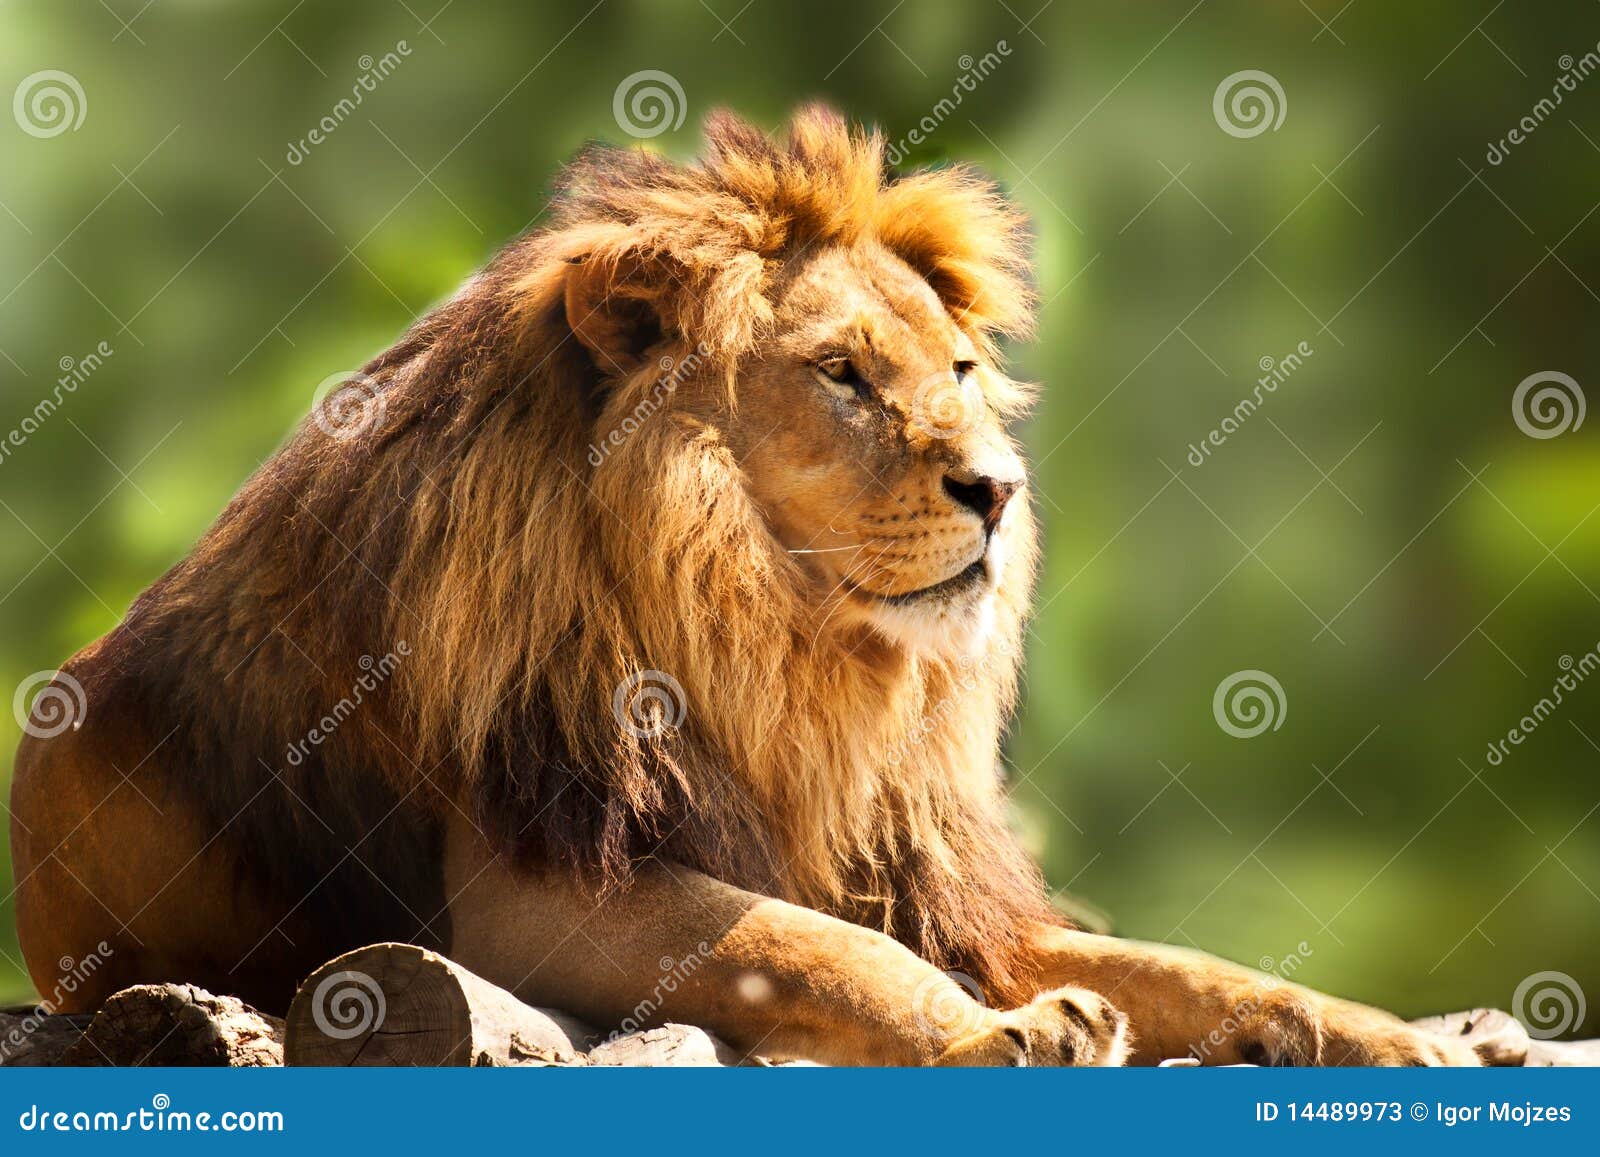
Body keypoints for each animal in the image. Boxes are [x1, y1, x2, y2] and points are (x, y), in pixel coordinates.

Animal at [10, 106, 1494, 1066]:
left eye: (960, 370)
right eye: (843, 375)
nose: (1000, 489)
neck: (780, 644)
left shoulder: (920, 868)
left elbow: (1178, 965)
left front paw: (1396, 1037)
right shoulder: (540, 887)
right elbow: (819, 945)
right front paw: (1006, 1031)